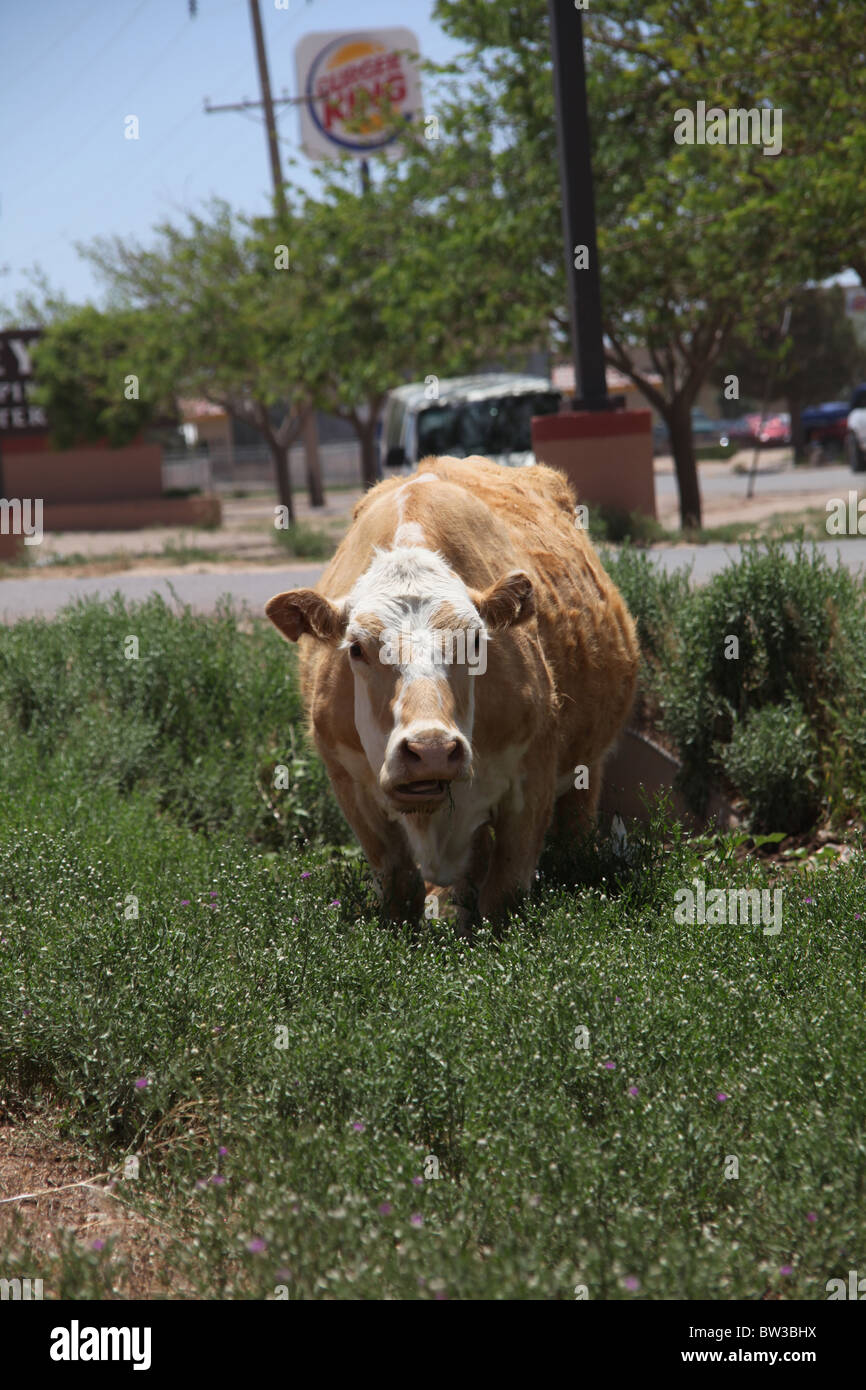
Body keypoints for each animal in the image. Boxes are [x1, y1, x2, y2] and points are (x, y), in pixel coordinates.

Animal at [266, 456, 639, 931]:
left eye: (476, 642)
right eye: (356, 648)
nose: (431, 750)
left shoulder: (530, 786)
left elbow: (504, 896)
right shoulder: (352, 790)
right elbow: (400, 891)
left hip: (585, 771)